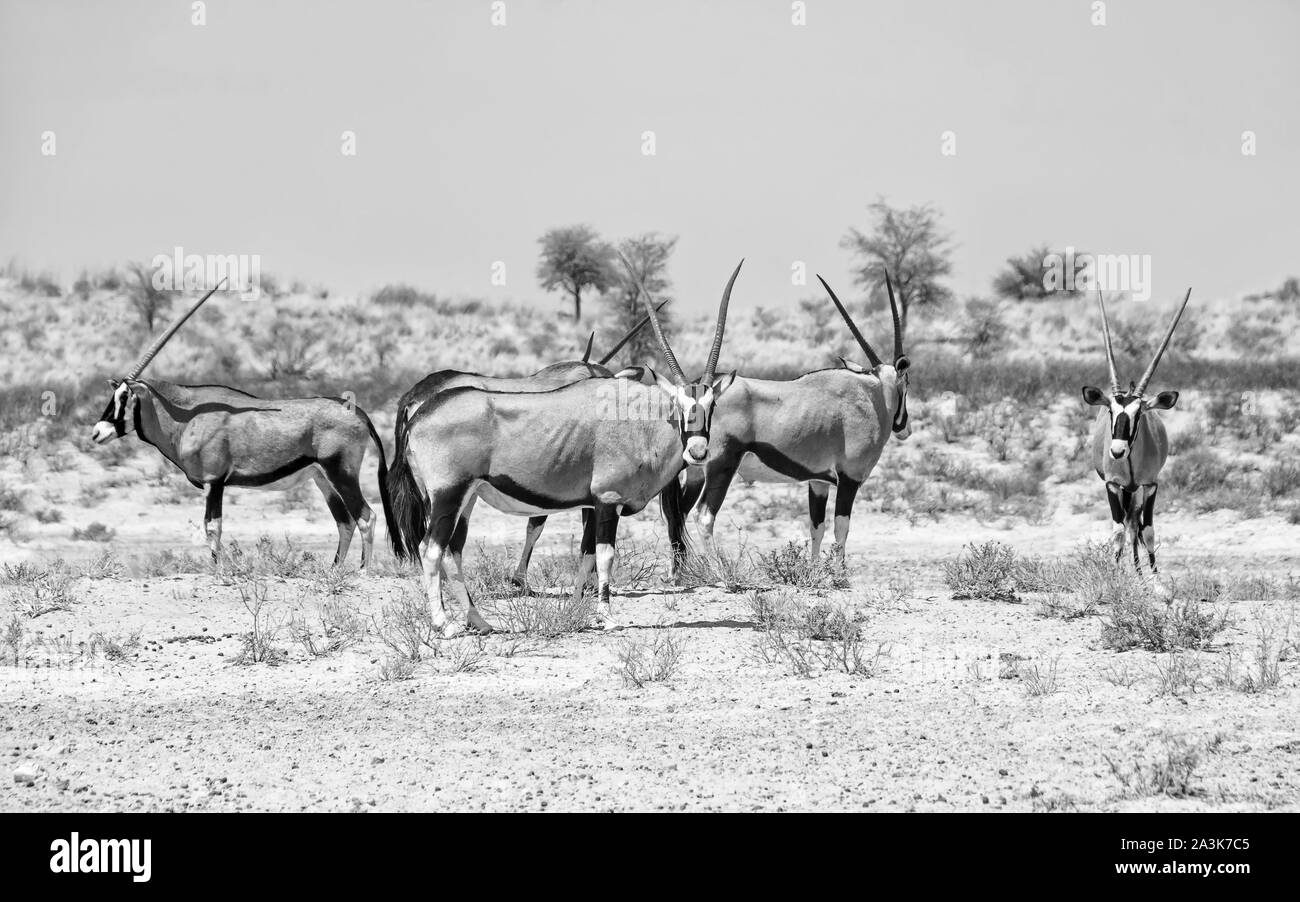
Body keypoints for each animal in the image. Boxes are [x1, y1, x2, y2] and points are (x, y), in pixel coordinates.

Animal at [91, 283, 397, 568]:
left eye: (124, 397)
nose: (97, 432)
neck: (186, 415)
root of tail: (356, 412)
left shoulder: (214, 481)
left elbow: (212, 527)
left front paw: (218, 569)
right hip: (322, 478)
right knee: (345, 521)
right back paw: (334, 571)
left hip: (341, 473)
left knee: (366, 516)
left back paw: (362, 572)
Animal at [671, 273, 910, 564]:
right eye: (907, 384)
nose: (905, 428)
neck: (871, 395)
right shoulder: (849, 478)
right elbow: (841, 529)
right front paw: (838, 572)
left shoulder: (818, 482)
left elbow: (816, 527)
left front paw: (815, 569)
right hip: (720, 466)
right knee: (704, 515)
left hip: (694, 470)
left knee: (678, 516)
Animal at [1082, 288, 1192, 572]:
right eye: (1111, 411)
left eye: (1139, 414)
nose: (1117, 451)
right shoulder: (1112, 484)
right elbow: (1118, 531)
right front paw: (1115, 574)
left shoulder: (1151, 484)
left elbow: (1148, 531)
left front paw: (1155, 580)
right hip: (1125, 490)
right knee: (1128, 525)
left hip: (1136, 490)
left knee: (1135, 524)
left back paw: (1140, 573)